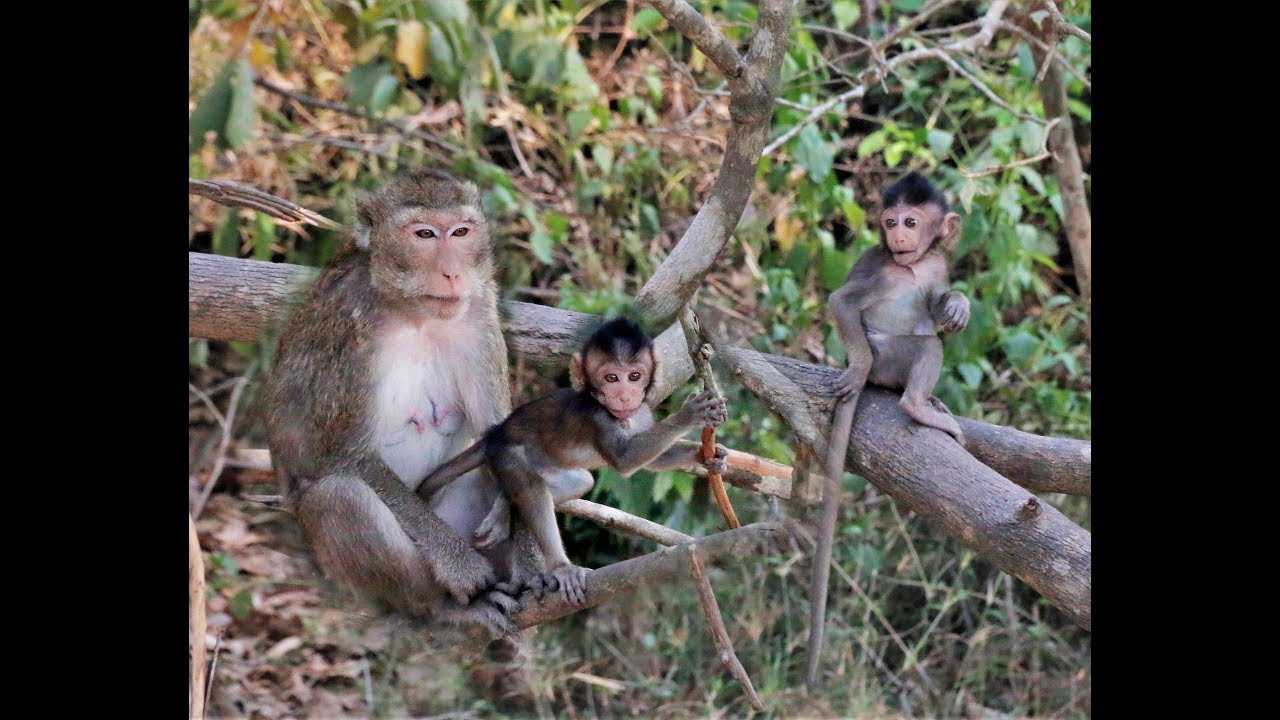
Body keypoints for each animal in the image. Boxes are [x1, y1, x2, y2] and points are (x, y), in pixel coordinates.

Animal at [260, 169, 545, 641]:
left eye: (460, 232)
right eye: (424, 234)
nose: (452, 272)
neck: (414, 314)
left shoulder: (479, 312)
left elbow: (502, 437)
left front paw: (530, 556)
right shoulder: (349, 327)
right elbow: (342, 457)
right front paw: (460, 565)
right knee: (339, 498)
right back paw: (445, 606)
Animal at [416, 317, 730, 606]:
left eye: (635, 376)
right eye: (611, 378)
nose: (624, 395)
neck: (618, 415)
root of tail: (497, 431)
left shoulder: (641, 412)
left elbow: (653, 460)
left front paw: (710, 456)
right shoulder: (595, 418)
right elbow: (624, 460)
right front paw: (690, 414)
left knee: (578, 483)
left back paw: (506, 508)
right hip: (505, 453)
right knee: (531, 488)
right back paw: (560, 566)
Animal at [806, 172, 971, 689]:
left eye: (910, 222)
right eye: (890, 222)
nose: (897, 237)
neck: (910, 266)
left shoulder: (935, 263)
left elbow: (937, 303)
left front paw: (957, 304)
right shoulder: (883, 274)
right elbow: (842, 302)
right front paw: (855, 370)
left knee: (930, 336)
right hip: (889, 359)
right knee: (926, 347)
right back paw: (916, 404)